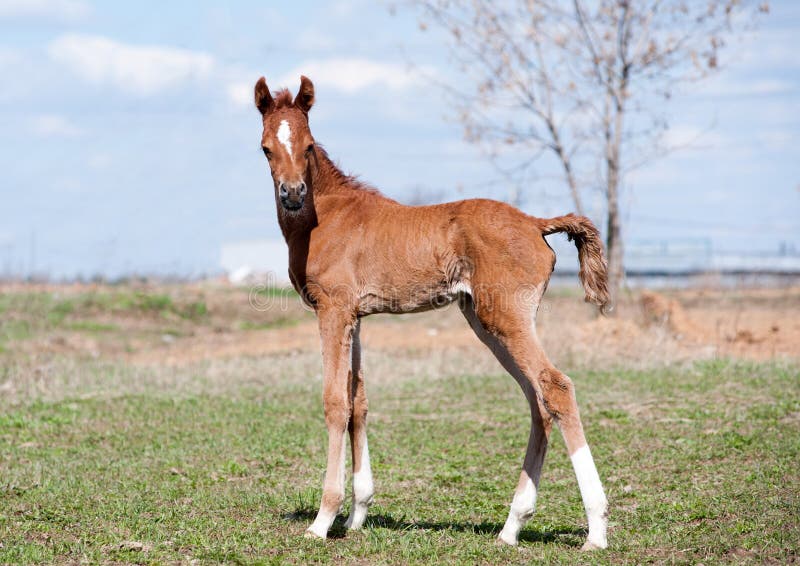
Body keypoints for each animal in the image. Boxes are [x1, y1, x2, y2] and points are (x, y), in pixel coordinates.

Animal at [254, 75, 610, 550]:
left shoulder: (332, 310)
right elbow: (358, 401)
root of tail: (536, 222)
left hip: (505, 318)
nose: (292, 195)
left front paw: (323, 518)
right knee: (537, 400)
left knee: (555, 387)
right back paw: (511, 527)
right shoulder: (357, 318)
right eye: (266, 148)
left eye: (308, 146)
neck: (324, 216)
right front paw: (357, 515)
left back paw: (596, 530)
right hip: (485, 321)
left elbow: (335, 402)